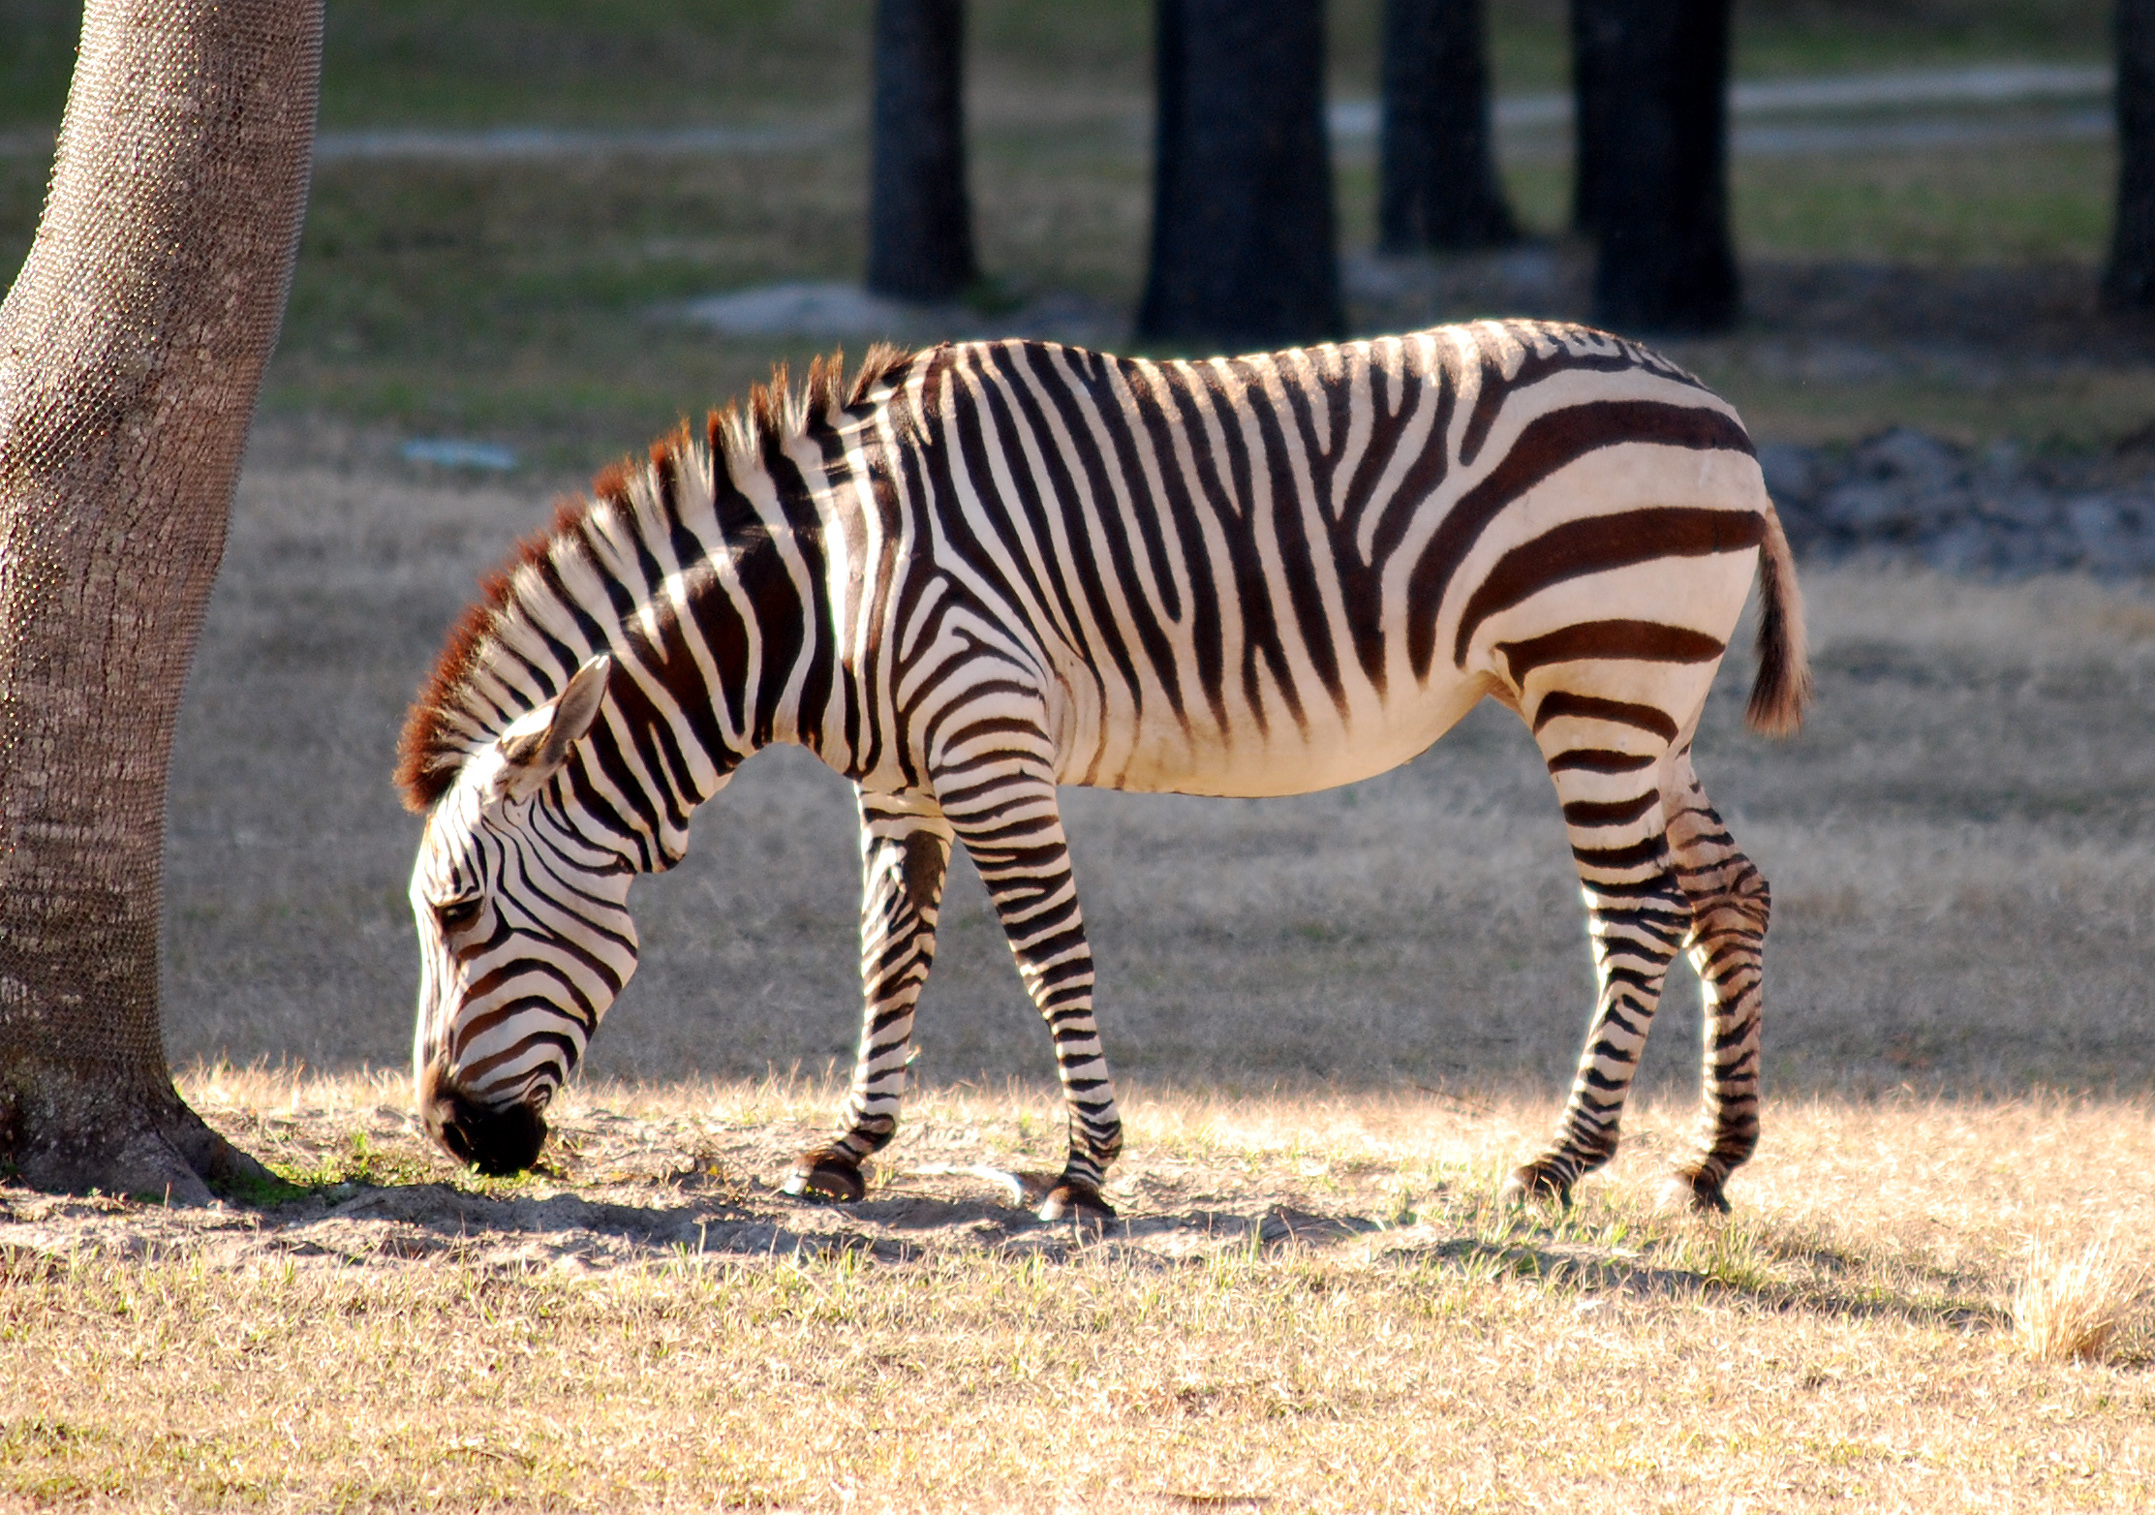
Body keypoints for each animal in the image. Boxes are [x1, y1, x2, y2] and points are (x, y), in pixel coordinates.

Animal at [400, 319, 1808, 1219]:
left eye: (458, 916)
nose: (452, 1135)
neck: (827, 598)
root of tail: (1718, 408)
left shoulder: (987, 742)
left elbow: (1048, 951)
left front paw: (1083, 1173)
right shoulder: (901, 780)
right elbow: (889, 957)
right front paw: (850, 1152)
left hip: (1596, 679)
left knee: (1638, 911)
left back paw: (1561, 1163)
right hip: (1644, 700)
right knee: (1729, 891)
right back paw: (1713, 1161)